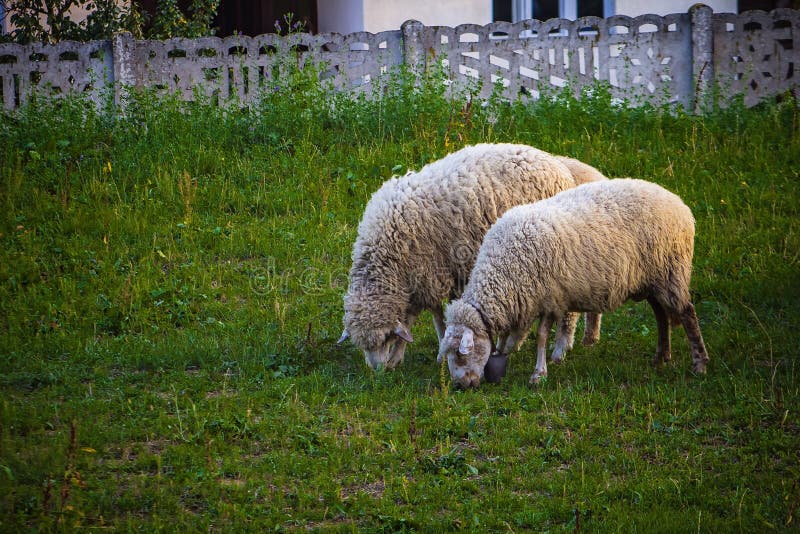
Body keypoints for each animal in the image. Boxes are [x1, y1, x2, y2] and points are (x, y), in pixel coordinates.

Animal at [338, 143, 606, 371]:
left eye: (383, 338)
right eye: (361, 345)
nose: (376, 370)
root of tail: (558, 166)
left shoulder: (426, 272)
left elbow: (419, 318)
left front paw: (401, 355)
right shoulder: (424, 277)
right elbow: (429, 315)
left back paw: (562, 346)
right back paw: (588, 337)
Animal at [439, 178, 709, 389]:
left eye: (461, 355)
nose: (460, 386)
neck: (503, 270)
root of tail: (681, 205)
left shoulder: (549, 297)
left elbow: (541, 336)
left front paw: (539, 374)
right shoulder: (527, 300)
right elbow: (510, 335)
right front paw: (505, 352)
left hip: (671, 272)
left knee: (687, 313)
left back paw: (699, 363)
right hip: (653, 280)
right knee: (661, 315)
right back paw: (661, 357)